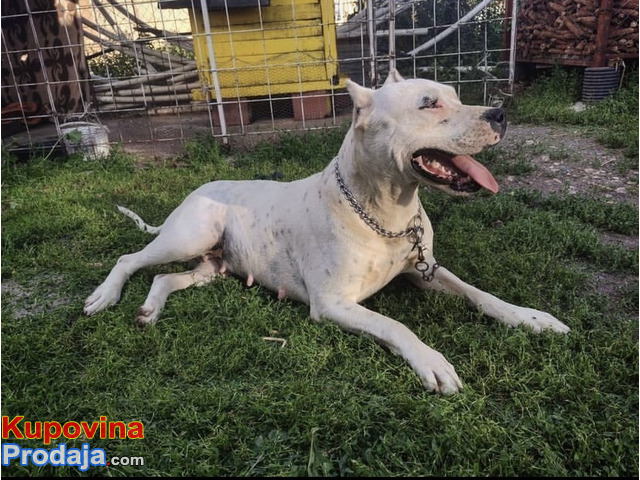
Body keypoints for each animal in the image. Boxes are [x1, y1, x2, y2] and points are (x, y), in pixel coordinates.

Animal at [85, 71, 568, 394]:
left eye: (454, 95)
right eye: (429, 103)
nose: (500, 113)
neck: (385, 211)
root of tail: (196, 189)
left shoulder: (426, 268)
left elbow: (480, 294)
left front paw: (531, 318)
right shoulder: (333, 304)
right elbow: (394, 325)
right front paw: (430, 360)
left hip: (211, 264)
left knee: (164, 276)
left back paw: (150, 309)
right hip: (190, 235)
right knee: (131, 259)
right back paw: (105, 295)